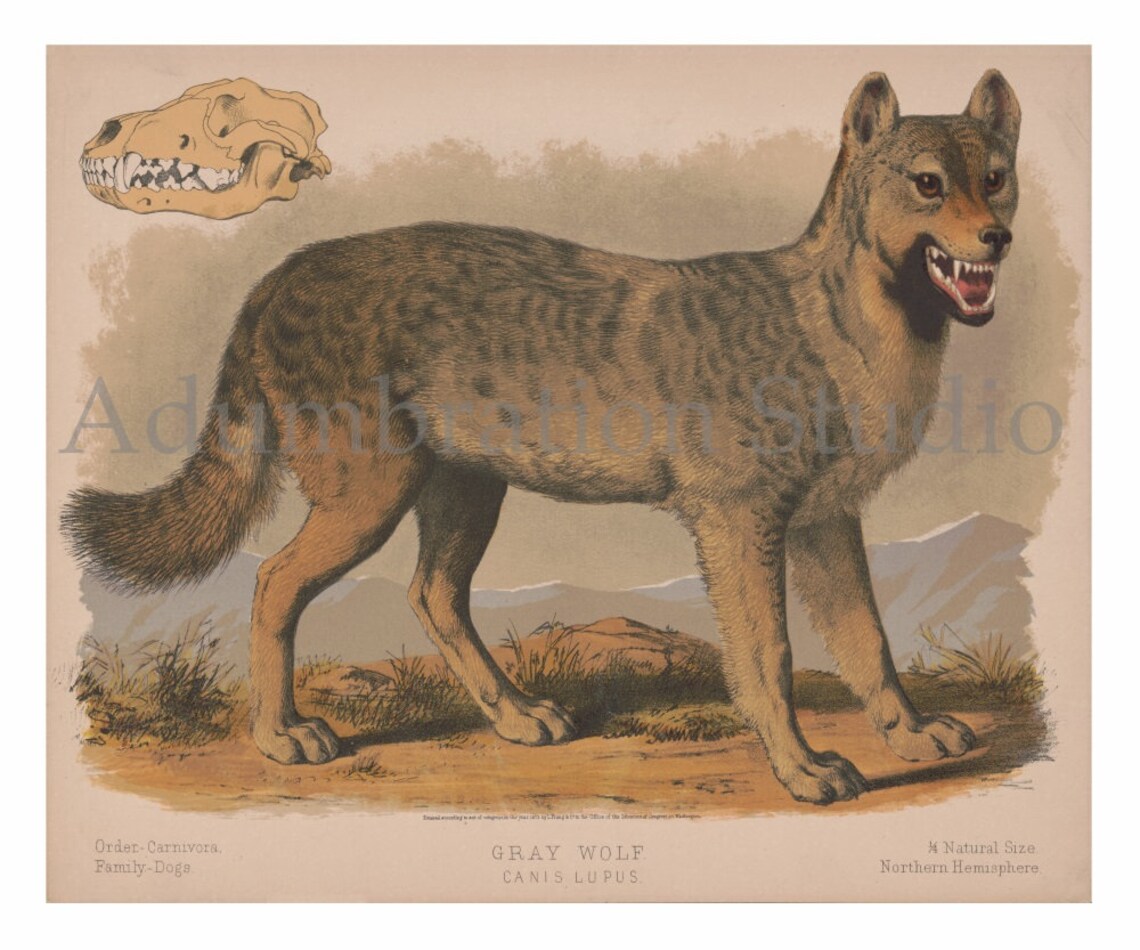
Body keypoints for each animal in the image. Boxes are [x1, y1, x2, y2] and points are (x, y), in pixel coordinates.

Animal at [63, 70, 1020, 804]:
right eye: (929, 183)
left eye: (998, 176)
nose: (1000, 238)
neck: (847, 322)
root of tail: (283, 269)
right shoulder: (740, 520)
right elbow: (769, 656)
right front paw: (805, 769)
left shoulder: (824, 520)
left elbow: (868, 641)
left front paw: (909, 735)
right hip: (370, 496)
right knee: (273, 582)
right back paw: (281, 734)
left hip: (464, 489)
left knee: (432, 595)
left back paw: (518, 715)